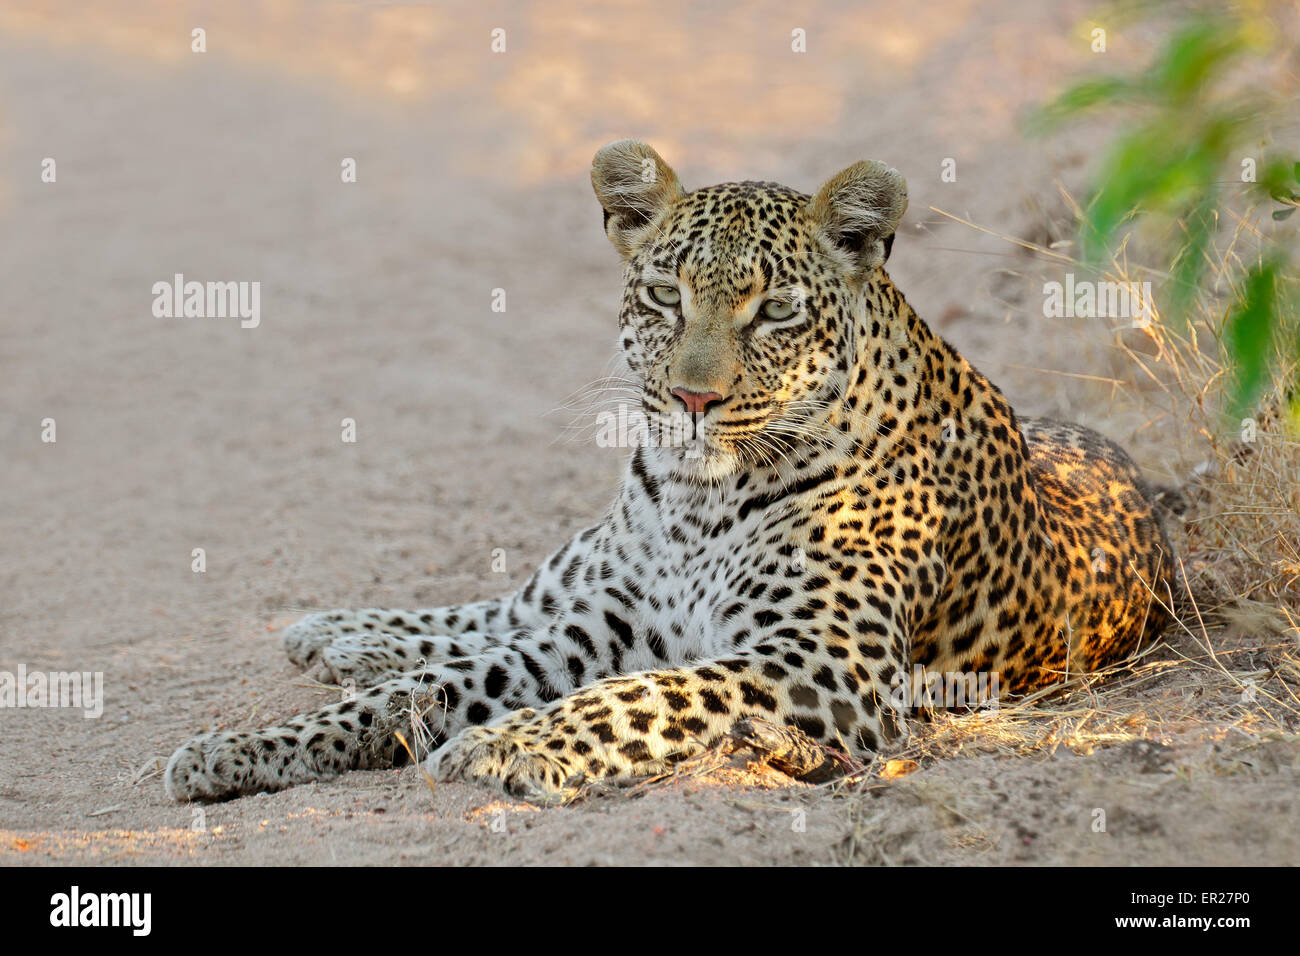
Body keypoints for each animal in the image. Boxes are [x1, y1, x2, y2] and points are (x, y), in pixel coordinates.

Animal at [165, 139, 1175, 803]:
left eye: (775, 312)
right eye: (663, 295)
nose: (692, 398)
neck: (700, 501)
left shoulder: (818, 662)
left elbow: (640, 694)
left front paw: (505, 747)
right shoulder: (593, 630)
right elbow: (425, 688)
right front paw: (233, 750)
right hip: (579, 576)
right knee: (490, 610)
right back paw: (336, 633)